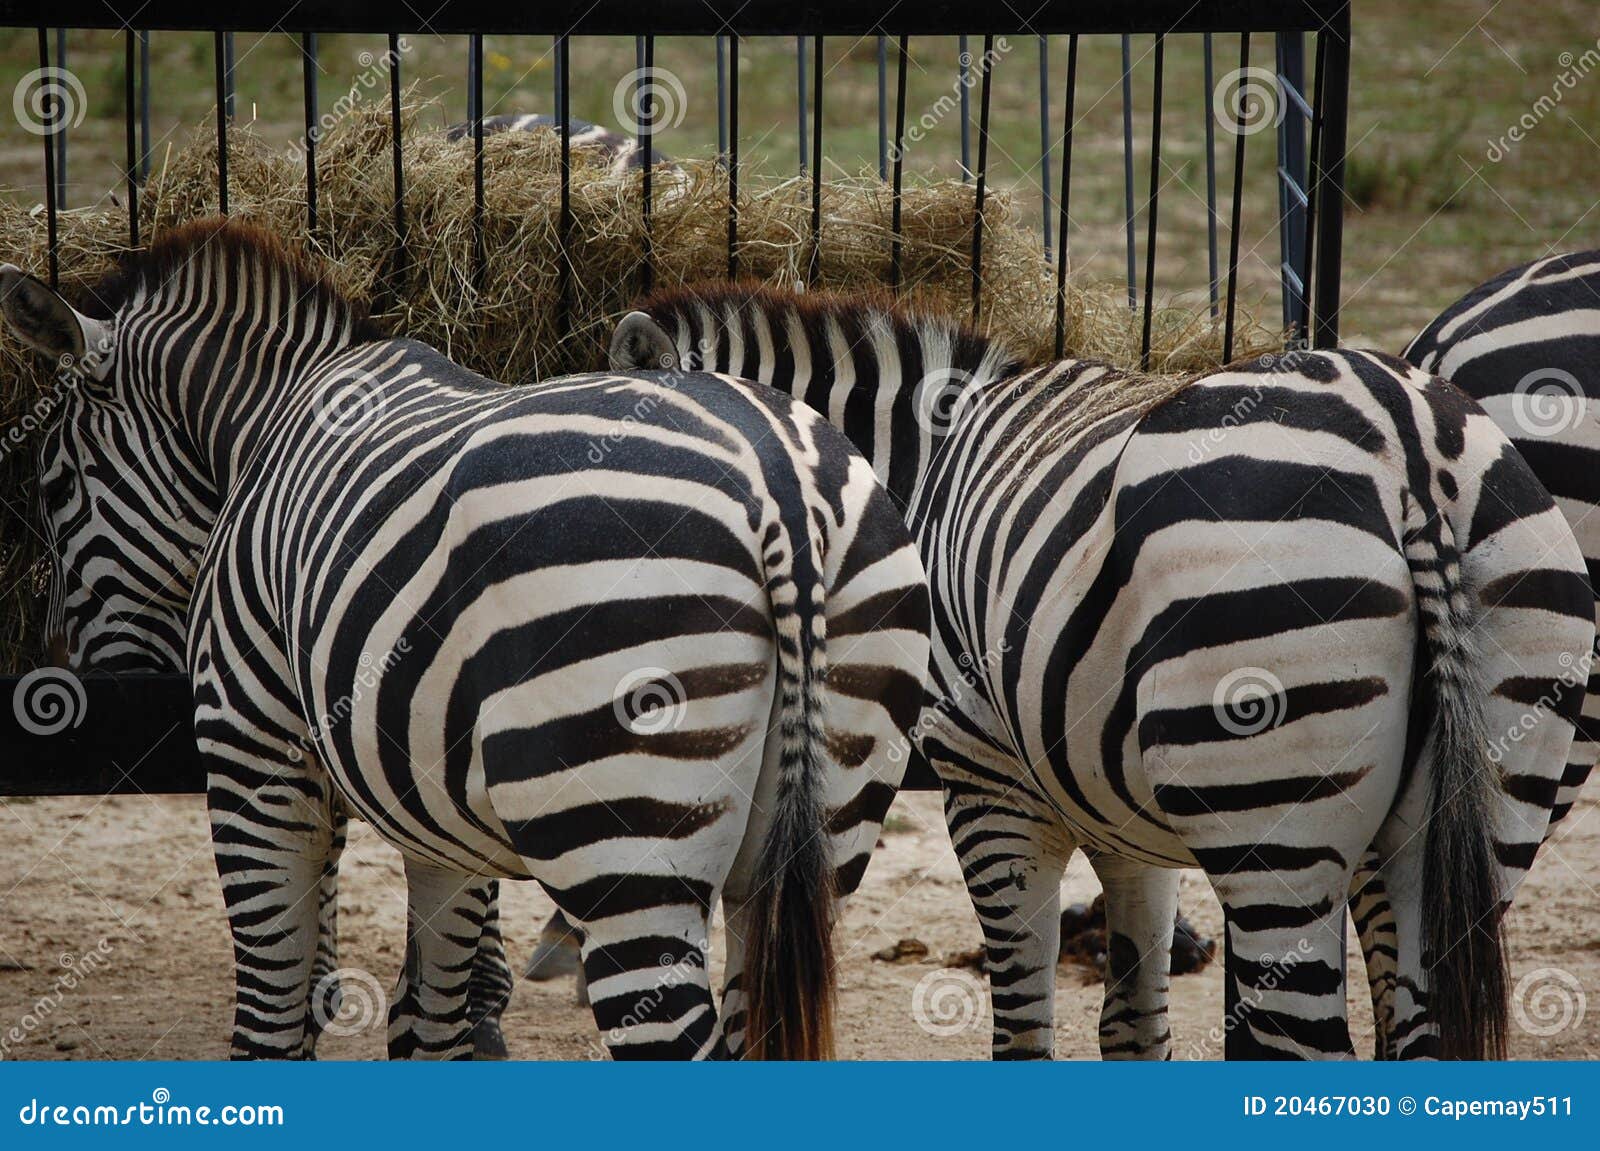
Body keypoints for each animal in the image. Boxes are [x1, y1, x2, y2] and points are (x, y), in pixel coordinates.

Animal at [0, 219, 930, 1059]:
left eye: (54, 483)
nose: (84, 676)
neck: (269, 425)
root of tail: (778, 485)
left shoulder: (253, 749)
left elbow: (271, 1017)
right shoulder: (434, 809)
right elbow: (429, 1021)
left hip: (625, 837)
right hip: (821, 822)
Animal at [609, 283, 1594, 1059]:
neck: (919, 474)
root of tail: (1409, 446)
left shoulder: (988, 782)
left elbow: (1023, 1029)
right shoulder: (1126, 822)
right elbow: (1133, 1023)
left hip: (1275, 816)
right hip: (1489, 798)